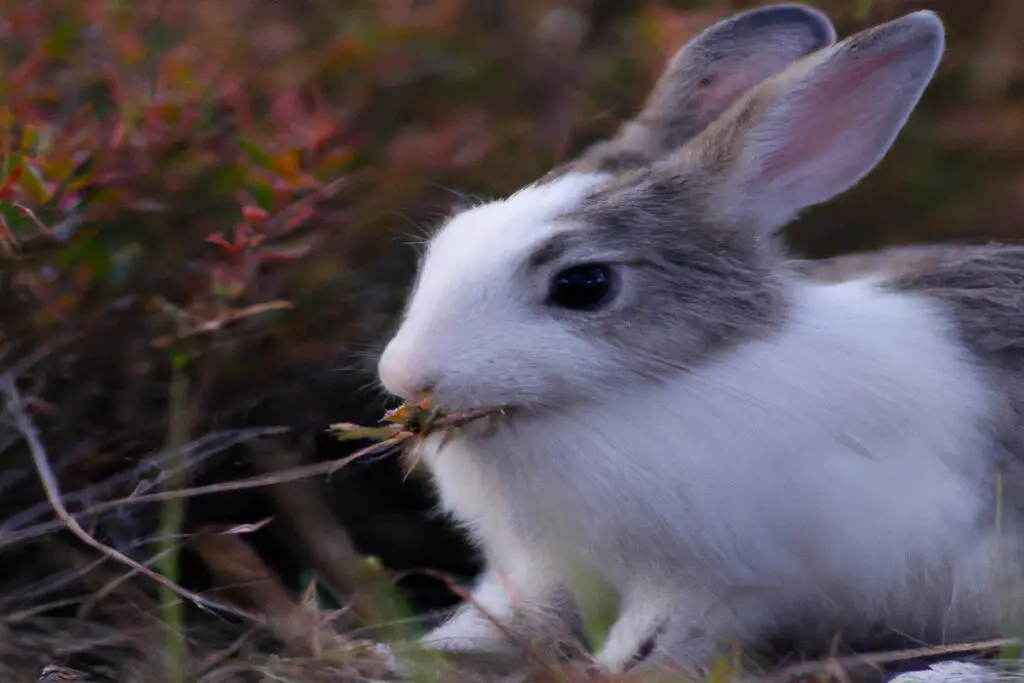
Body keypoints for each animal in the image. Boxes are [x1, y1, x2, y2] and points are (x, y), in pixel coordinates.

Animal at [377, 3, 1024, 677]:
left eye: (584, 285)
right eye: (446, 242)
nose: (404, 374)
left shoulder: (712, 587)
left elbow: (656, 639)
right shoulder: (541, 572)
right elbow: (508, 616)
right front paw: (419, 652)